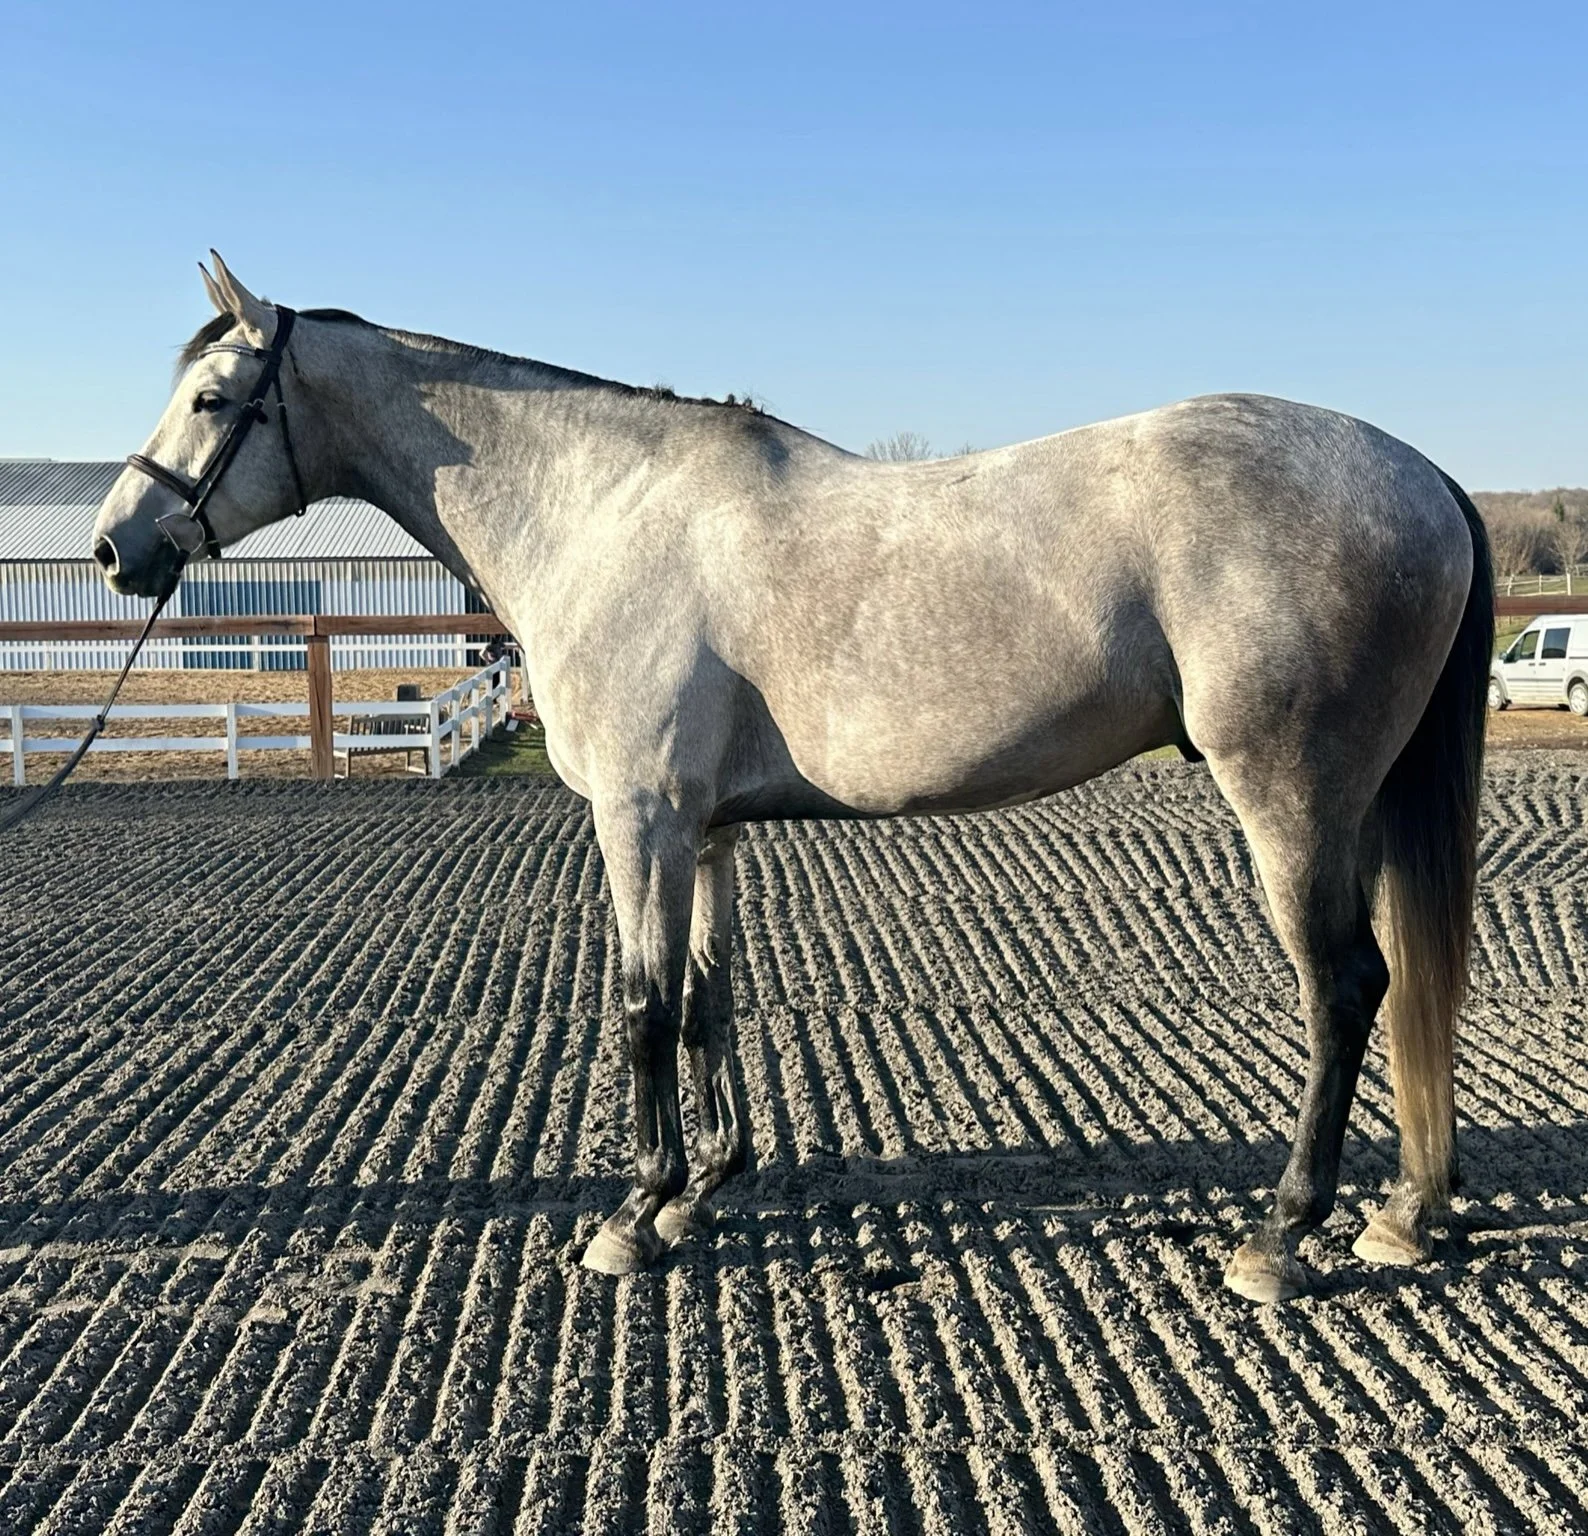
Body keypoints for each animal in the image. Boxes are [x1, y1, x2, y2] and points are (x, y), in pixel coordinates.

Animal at [91, 254, 1492, 1301]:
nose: (116, 548)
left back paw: (1283, 1233)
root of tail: (1423, 475)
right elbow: (710, 1001)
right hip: (1361, 804)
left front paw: (634, 1213)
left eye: (212, 398)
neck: (602, 510)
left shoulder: (638, 824)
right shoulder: (705, 834)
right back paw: (1402, 1213)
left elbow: (641, 1006)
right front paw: (707, 1186)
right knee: (1403, 981)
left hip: (1291, 802)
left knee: (1344, 990)